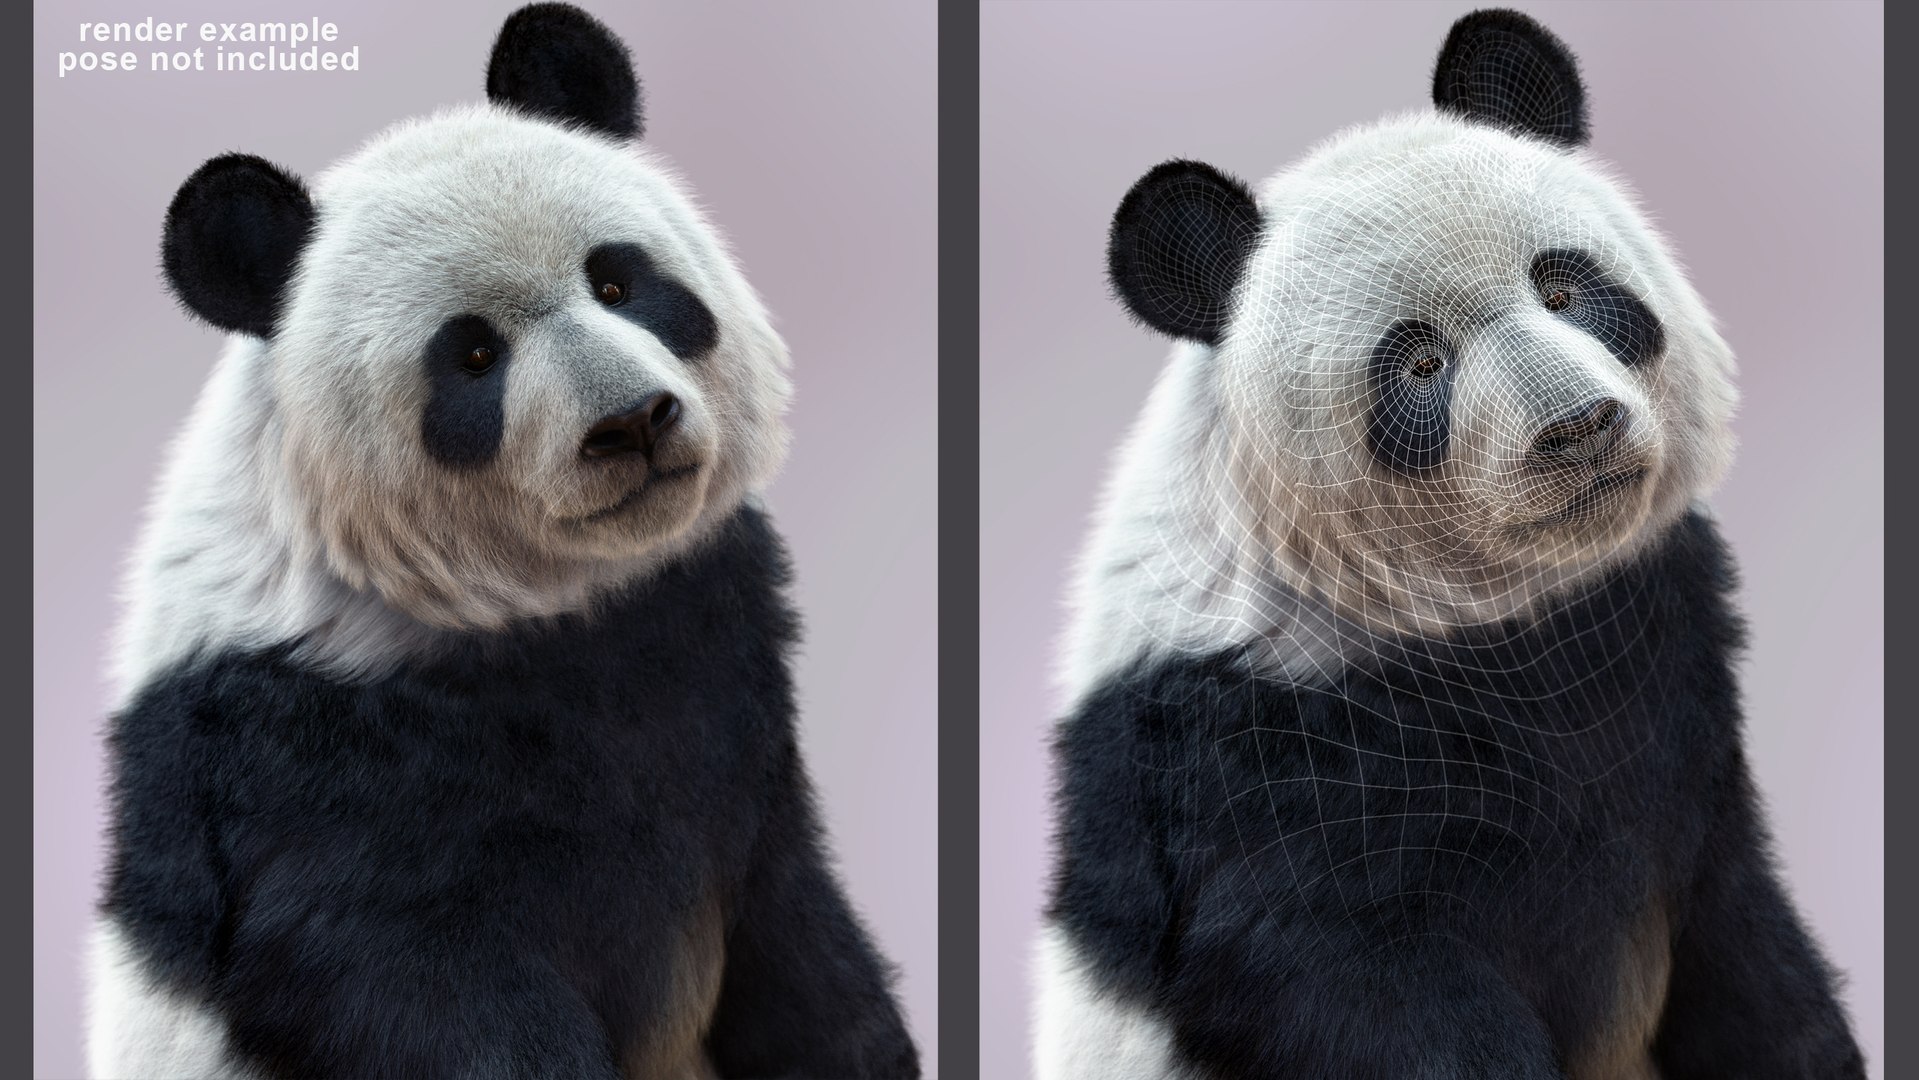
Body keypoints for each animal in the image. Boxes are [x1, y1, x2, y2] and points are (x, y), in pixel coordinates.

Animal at [85, 5, 918, 1079]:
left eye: (618, 281)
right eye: (473, 353)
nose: (630, 424)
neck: (546, 611)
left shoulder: (714, 648)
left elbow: (791, 928)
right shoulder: (294, 759)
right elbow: (406, 974)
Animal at [1037, 9, 1863, 1080]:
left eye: (1563, 290)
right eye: (1421, 362)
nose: (1577, 429)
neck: (1492, 623)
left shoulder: (1664, 656)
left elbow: (1741, 944)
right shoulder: (1242, 761)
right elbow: (1352, 981)